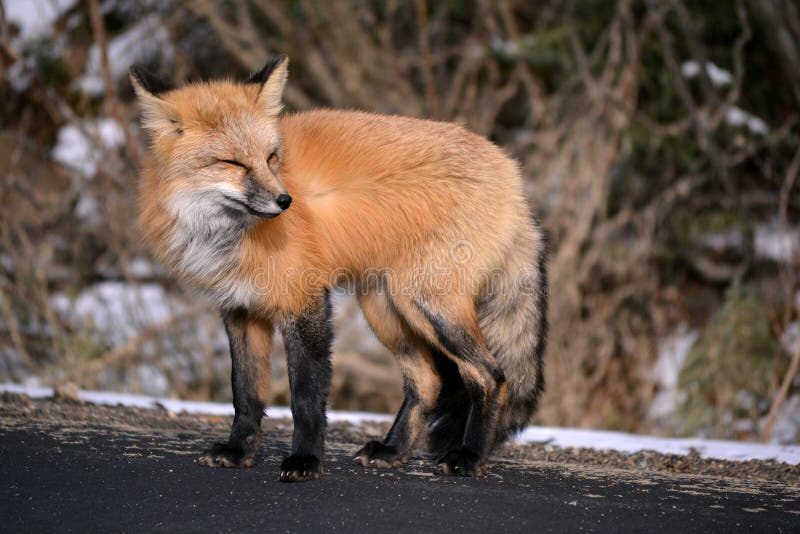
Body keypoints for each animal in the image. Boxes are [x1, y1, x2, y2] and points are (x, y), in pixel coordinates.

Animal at [131, 55, 547, 481]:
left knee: (491, 375)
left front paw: (305, 460)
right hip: (386, 310)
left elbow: (306, 397)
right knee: (428, 382)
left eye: (271, 157)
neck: (224, 235)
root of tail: (513, 177)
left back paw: (469, 457)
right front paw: (238, 451)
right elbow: (245, 394)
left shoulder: (304, 300)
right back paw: (392, 451)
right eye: (231, 162)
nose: (285, 201)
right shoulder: (240, 310)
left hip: (428, 305)